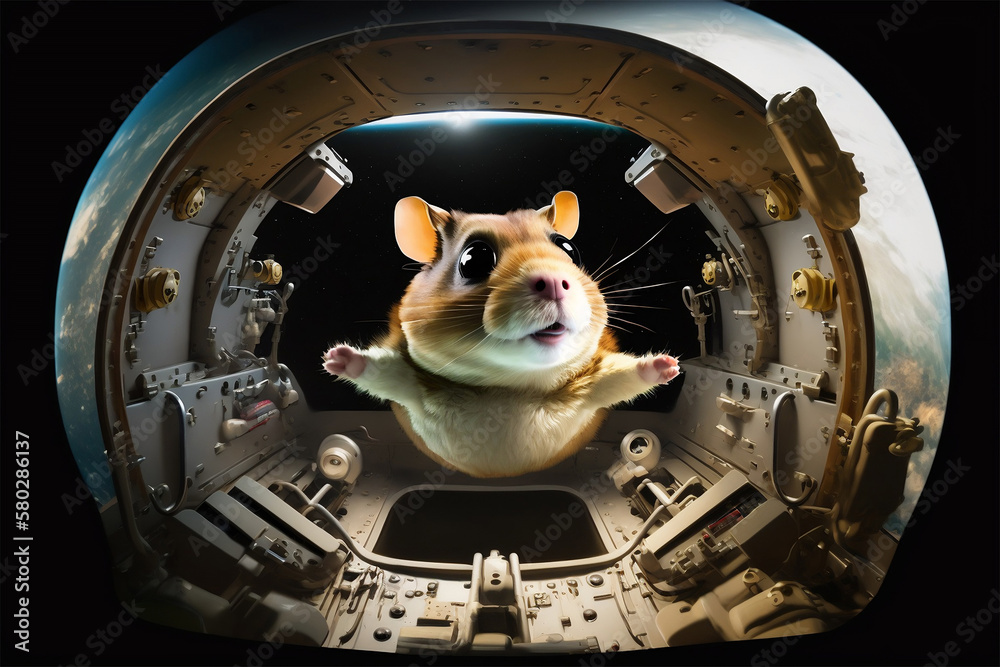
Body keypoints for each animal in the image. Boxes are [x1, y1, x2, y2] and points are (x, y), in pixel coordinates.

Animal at [322, 191, 679, 477]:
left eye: (570, 249)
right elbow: (385, 374)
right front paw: (341, 359)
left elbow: (619, 378)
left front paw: (663, 366)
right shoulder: (412, 382)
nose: (554, 282)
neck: (511, 385)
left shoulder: (591, 384)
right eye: (474, 259)